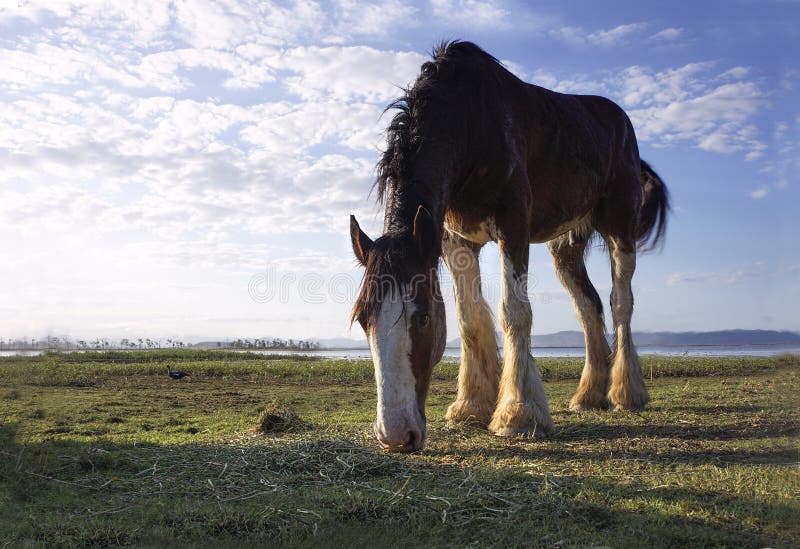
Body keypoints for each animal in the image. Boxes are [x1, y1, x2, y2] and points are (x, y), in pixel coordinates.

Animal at [350, 41, 669, 453]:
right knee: (588, 307)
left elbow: (514, 312)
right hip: (565, 248)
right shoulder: (456, 242)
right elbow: (470, 319)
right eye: (363, 319)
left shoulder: (513, 228)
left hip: (620, 230)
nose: (395, 434)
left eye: (421, 318)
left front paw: (518, 414)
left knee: (620, 303)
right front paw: (470, 407)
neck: (470, 121)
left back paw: (626, 393)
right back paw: (588, 396)